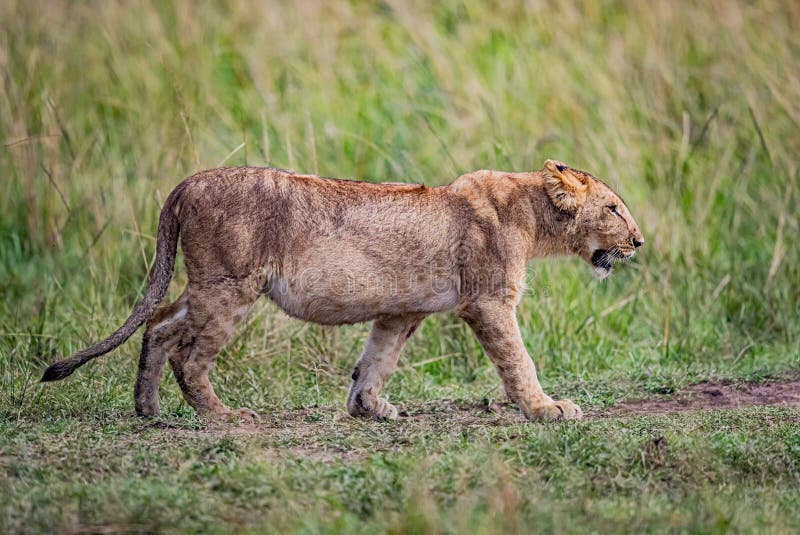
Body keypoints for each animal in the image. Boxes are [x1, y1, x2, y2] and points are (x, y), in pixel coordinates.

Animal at [42, 159, 643, 423]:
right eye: (614, 207)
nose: (639, 241)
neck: (534, 214)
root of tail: (188, 182)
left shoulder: (403, 308)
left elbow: (377, 359)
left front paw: (369, 408)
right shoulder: (489, 300)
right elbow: (519, 360)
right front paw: (547, 409)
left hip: (208, 283)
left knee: (160, 324)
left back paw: (147, 408)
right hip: (232, 286)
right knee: (188, 354)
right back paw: (223, 416)